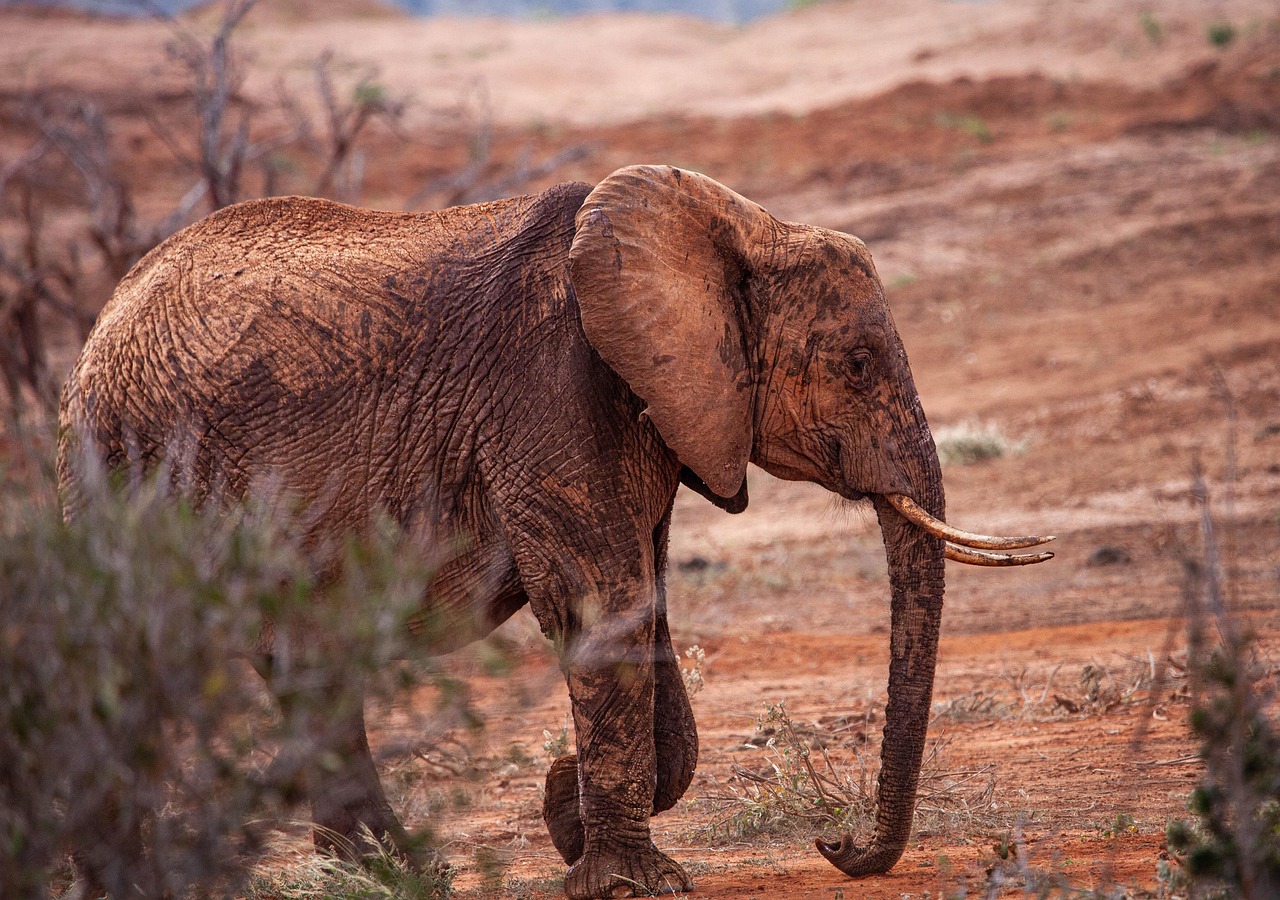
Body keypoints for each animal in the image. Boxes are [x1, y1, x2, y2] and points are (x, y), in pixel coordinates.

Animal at [57, 164, 1053, 898]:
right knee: (124, 663)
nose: (835, 844)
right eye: (857, 363)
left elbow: (645, 610)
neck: (735, 225)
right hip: (119, 466)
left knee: (307, 663)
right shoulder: (552, 393)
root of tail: (99, 323)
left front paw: (563, 813)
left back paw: (392, 869)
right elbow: (602, 602)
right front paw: (627, 880)